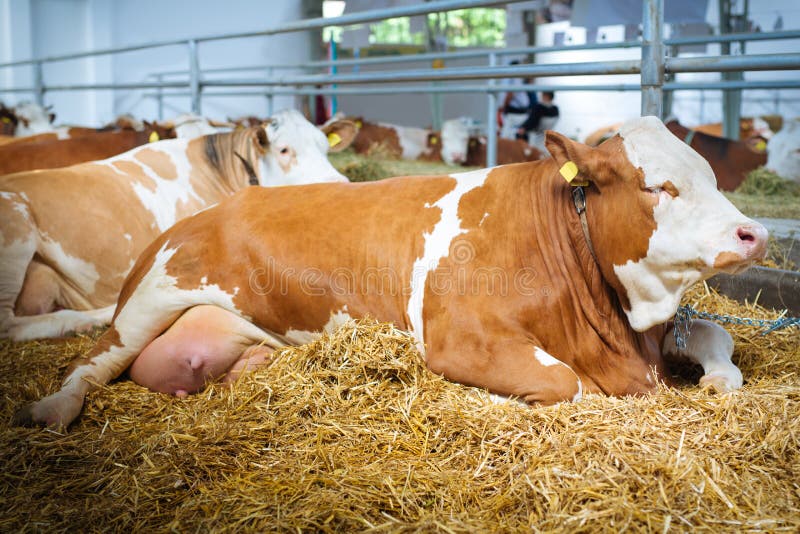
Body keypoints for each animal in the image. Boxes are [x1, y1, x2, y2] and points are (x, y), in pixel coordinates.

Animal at [0, 109, 357, 341]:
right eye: (284, 149)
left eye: (325, 147)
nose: (340, 182)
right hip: (17, 231)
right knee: (9, 324)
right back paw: (88, 319)